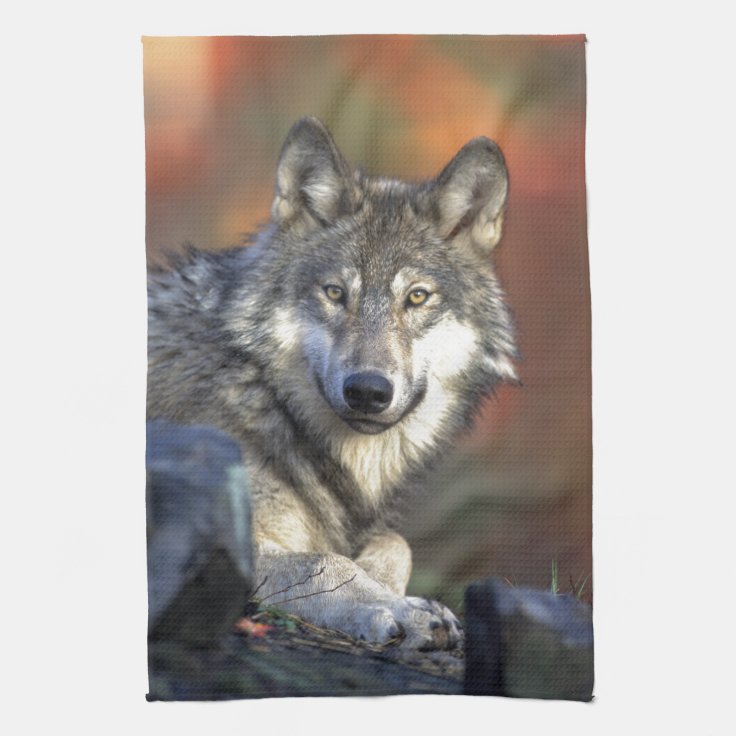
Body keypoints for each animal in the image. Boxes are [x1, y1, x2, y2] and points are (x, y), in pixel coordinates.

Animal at [147, 117, 517, 650]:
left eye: (417, 297)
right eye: (336, 293)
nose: (367, 390)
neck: (265, 398)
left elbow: (395, 543)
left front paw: (395, 595)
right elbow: (326, 561)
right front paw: (399, 610)